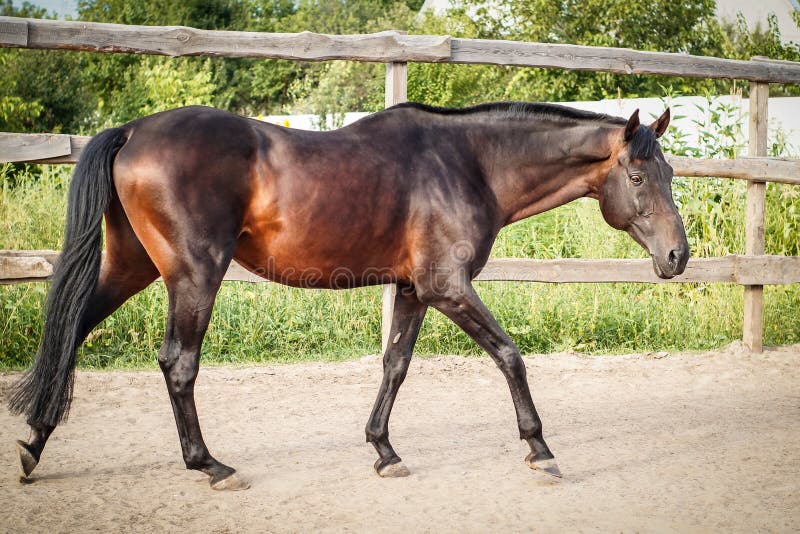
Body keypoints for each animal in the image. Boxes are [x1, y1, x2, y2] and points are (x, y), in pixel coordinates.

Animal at [9, 101, 688, 490]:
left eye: (670, 173)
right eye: (636, 176)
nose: (678, 258)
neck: (467, 162)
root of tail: (131, 132)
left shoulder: (414, 288)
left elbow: (396, 364)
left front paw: (384, 451)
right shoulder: (447, 286)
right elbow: (509, 355)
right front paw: (540, 450)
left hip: (132, 267)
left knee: (71, 332)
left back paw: (33, 445)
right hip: (193, 274)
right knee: (178, 364)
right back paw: (210, 466)